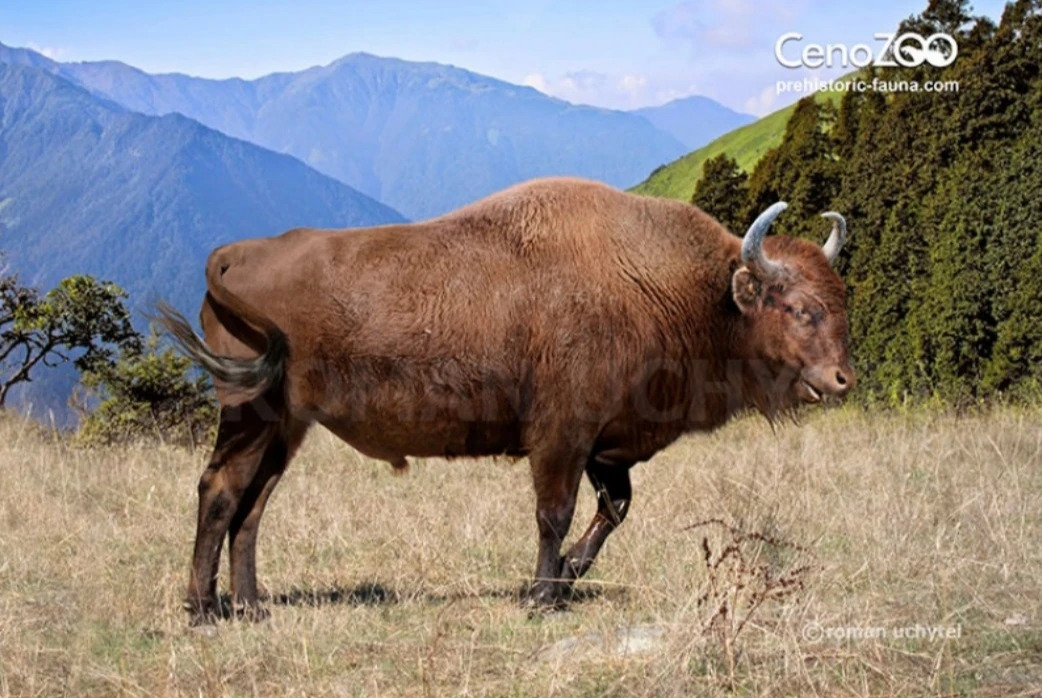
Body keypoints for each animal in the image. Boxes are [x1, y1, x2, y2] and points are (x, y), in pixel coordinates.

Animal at [158, 177, 854, 622]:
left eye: (840, 298)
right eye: (799, 307)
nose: (842, 379)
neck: (666, 286)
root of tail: (236, 255)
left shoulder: (606, 447)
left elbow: (614, 511)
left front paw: (565, 580)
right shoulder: (562, 439)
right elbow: (556, 514)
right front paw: (542, 596)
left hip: (287, 430)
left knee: (252, 506)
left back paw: (250, 607)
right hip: (250, 417)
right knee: (220, 491)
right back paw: (202, 610)